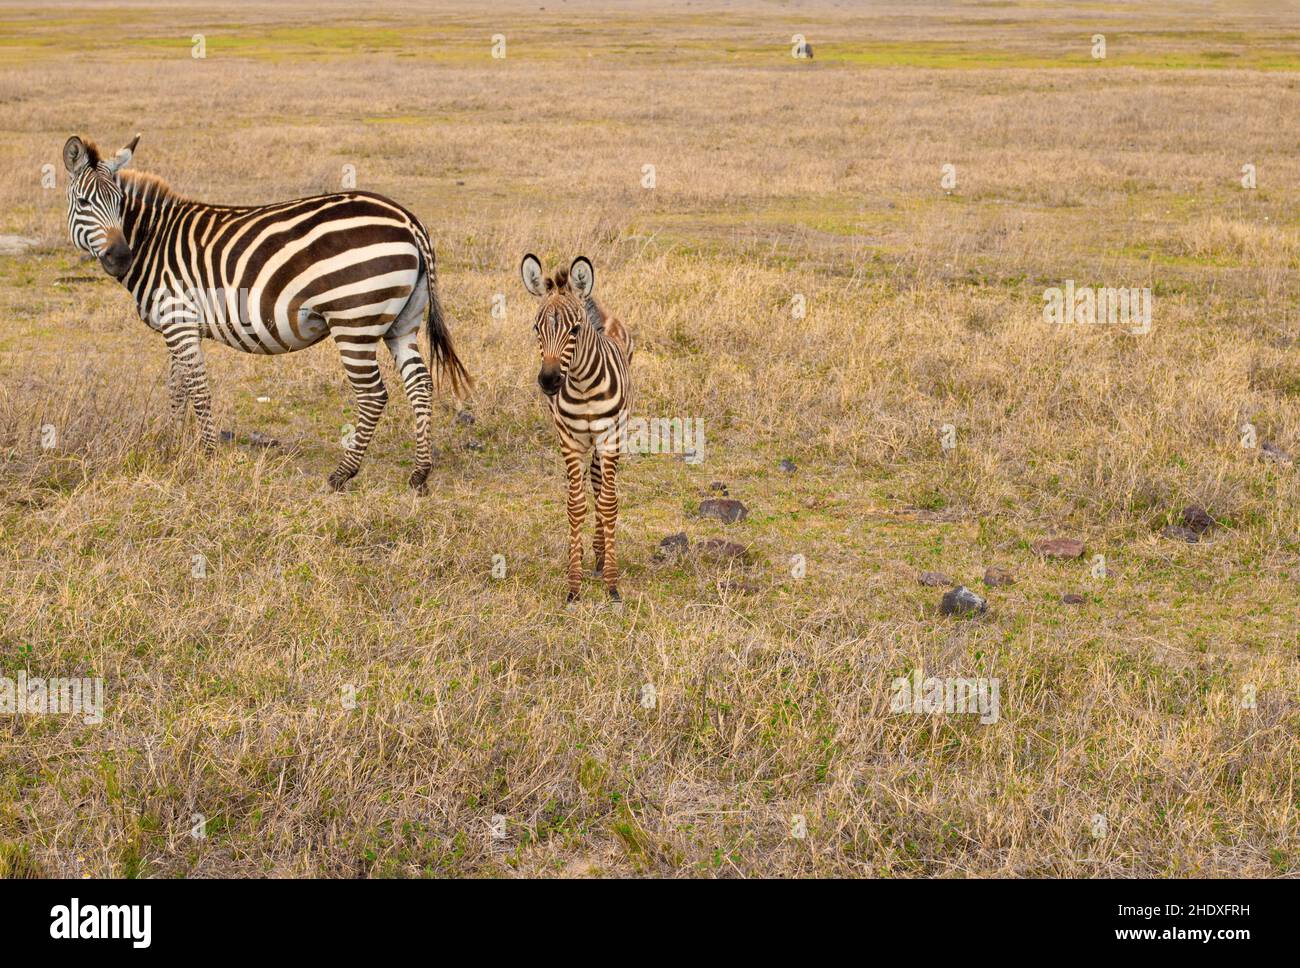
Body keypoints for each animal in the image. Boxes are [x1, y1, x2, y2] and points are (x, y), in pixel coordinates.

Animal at [62, 133, 470, 493]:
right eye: (83, 202)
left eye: (119, 203)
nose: (120, 257)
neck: (154, 240)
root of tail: (408, 220)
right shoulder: (177, 324)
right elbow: (177, 389)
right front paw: (169, 443)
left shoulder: (179, 319)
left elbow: (198, 389)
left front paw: (207, 454)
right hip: (401, 323)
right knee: (420, 384)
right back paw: (419, 474)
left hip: (354, 320)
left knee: (373, 395)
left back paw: (342, 475)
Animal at [520, 254, 633, 604]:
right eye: (536, 328)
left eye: (575, 329)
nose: (549, 381)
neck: (582, 385)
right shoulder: (569, 441)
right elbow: (575, 505)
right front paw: (574, 584)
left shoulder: (610, 438)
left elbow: (608, 503)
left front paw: (611, 583)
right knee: (590, 484)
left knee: (600, 485)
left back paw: (601, 555)